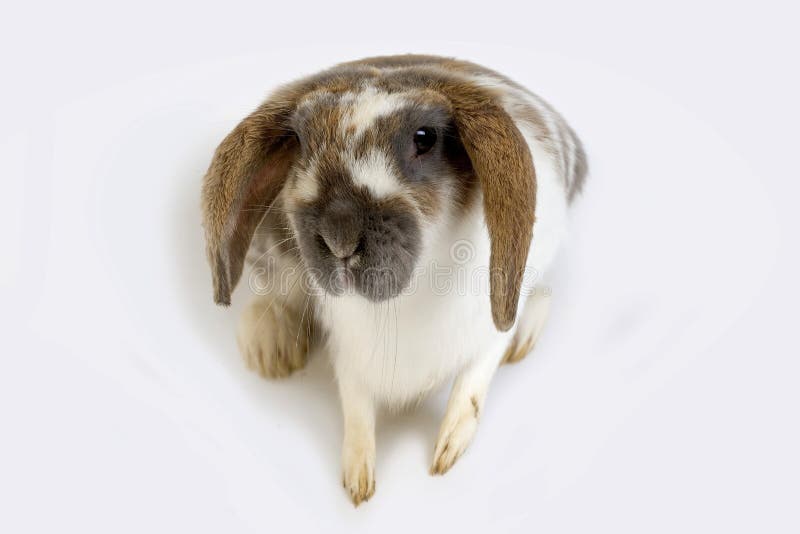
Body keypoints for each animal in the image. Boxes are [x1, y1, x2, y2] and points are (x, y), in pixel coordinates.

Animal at [201, 54, 587, 506]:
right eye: (302, 140)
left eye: (425, 138)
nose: (340, 235)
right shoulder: (348, 348)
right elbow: (356, 407)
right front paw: (358, 478)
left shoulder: (486, 332)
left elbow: (473, 381)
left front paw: (447, 449)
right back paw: (270, 351)